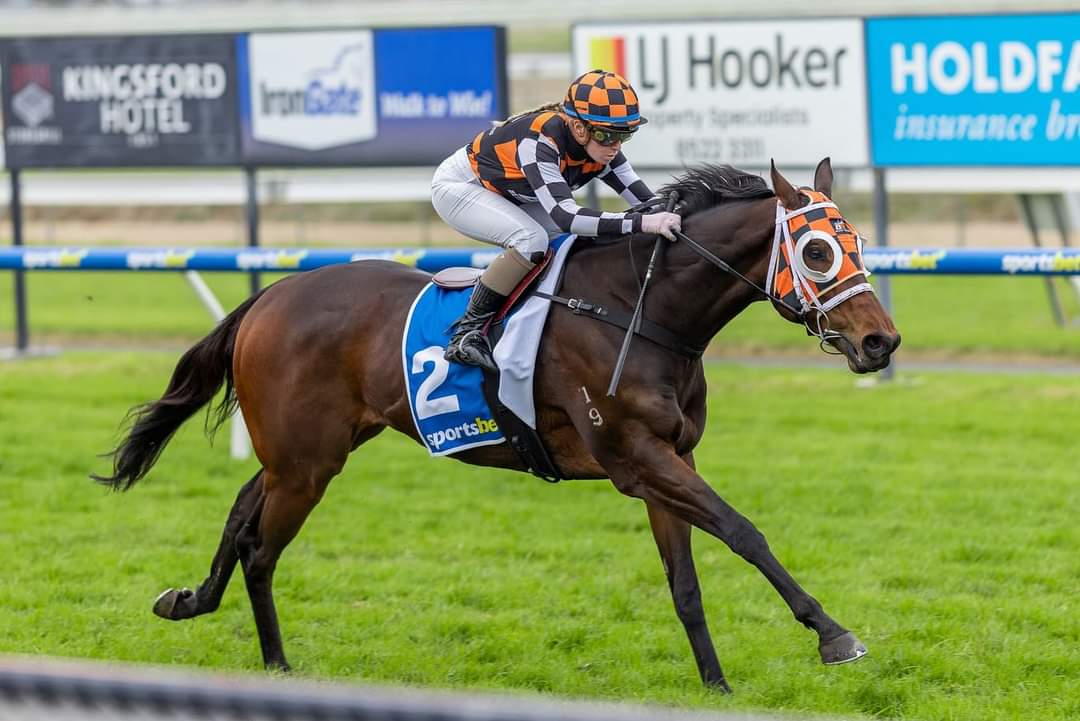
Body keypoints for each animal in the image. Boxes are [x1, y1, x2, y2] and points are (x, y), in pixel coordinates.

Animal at [93, 158, 900, 692]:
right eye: (817, 250)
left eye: (857, 243)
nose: (880, 342)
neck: (640, 311)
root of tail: (270, 296)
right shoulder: (637, 458)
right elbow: (743, 531)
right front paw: (834, 635)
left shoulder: (667, 461)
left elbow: (686, 583)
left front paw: (716, 686)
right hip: (307, 463)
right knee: (261, 549)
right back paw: (276, 665)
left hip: (306, 451)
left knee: (240, 511)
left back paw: (193, 603)